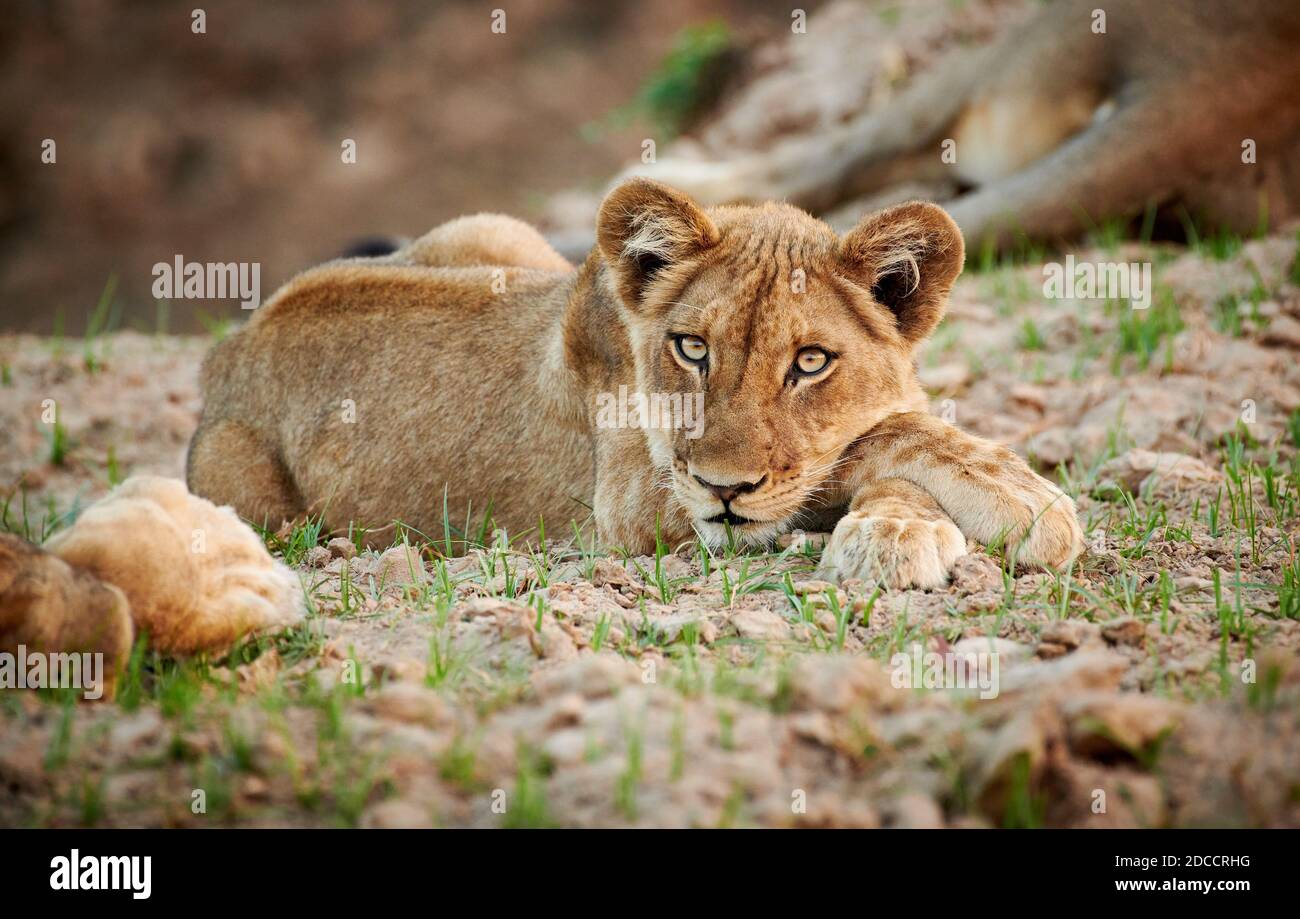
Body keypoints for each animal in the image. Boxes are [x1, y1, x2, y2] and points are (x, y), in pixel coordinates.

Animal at [187, 179, 1084, 589]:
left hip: (495, 234)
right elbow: (869, 443)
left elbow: (882, 435)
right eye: (691, 348)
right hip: (244, 490)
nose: (725, 489)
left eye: (810, 362)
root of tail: (234, 347)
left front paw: (899, 529)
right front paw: (1029, 500)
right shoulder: (632, 504)